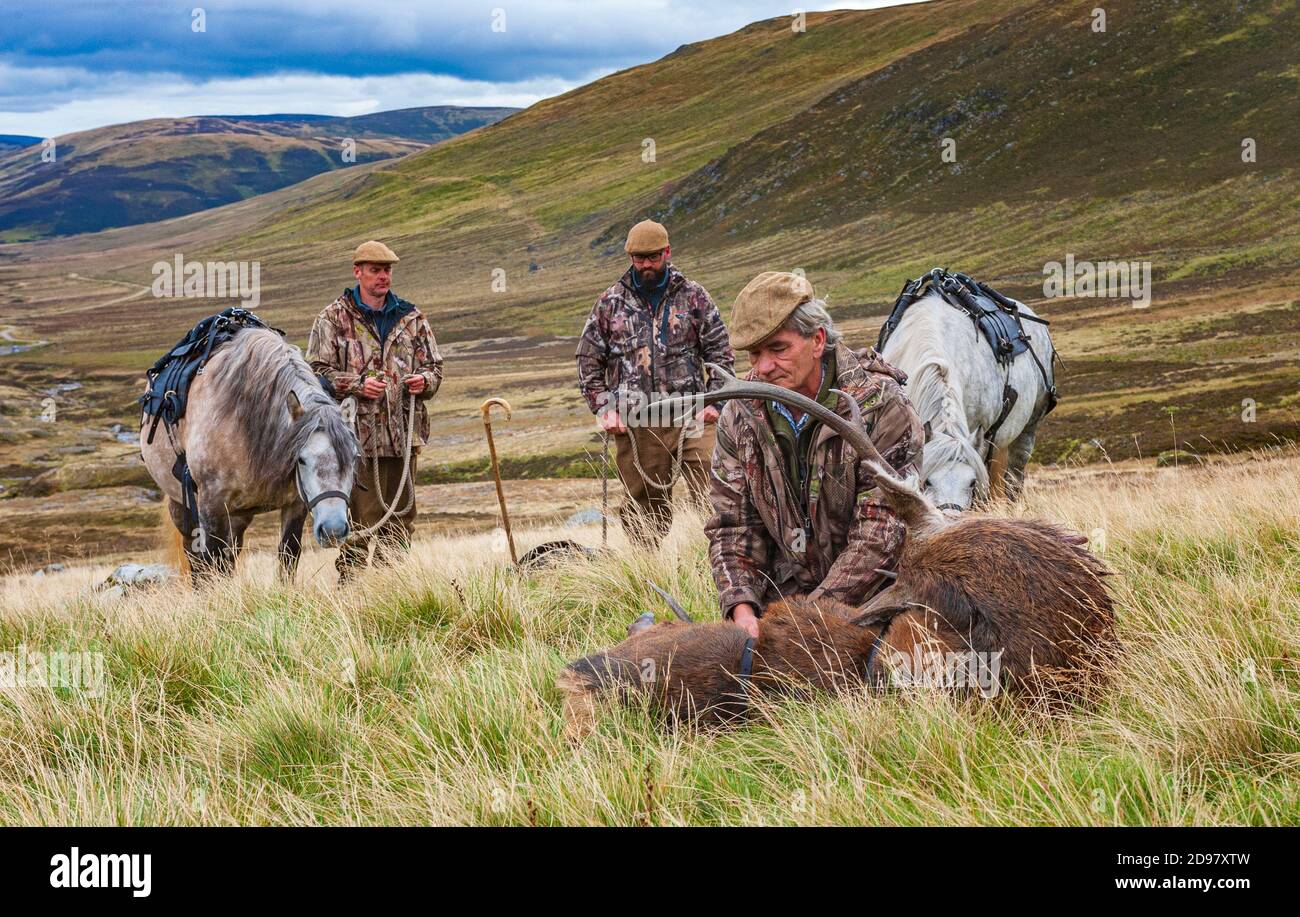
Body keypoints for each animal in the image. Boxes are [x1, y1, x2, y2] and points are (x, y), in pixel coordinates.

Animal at [140, 327, 358, 580]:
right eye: (301, 459)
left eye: (354, 458)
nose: (334, 530)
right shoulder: (211, 505)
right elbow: (212, 560)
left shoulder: (296, 505)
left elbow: (288, 556)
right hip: (182, 506)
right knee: (197, 560)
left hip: (238, 516)